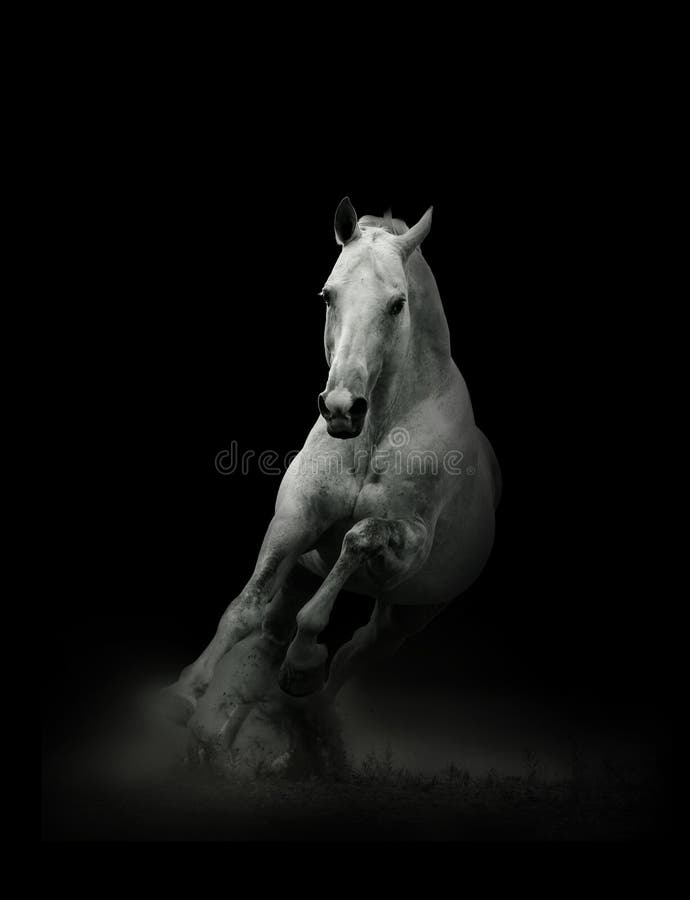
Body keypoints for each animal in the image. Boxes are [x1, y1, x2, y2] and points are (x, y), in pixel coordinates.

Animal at [165, 197, 501, 735]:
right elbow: (245, 608)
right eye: (327, 295)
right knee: (270, 639)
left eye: (397, 304)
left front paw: (303, 666)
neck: (376, 431)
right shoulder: (295, 521)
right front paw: (181, 694)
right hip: (304, 574)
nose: (342, 408)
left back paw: (311, 714)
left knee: (356, 653)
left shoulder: (406, 548)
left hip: (410, 615)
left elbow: (356, 541)